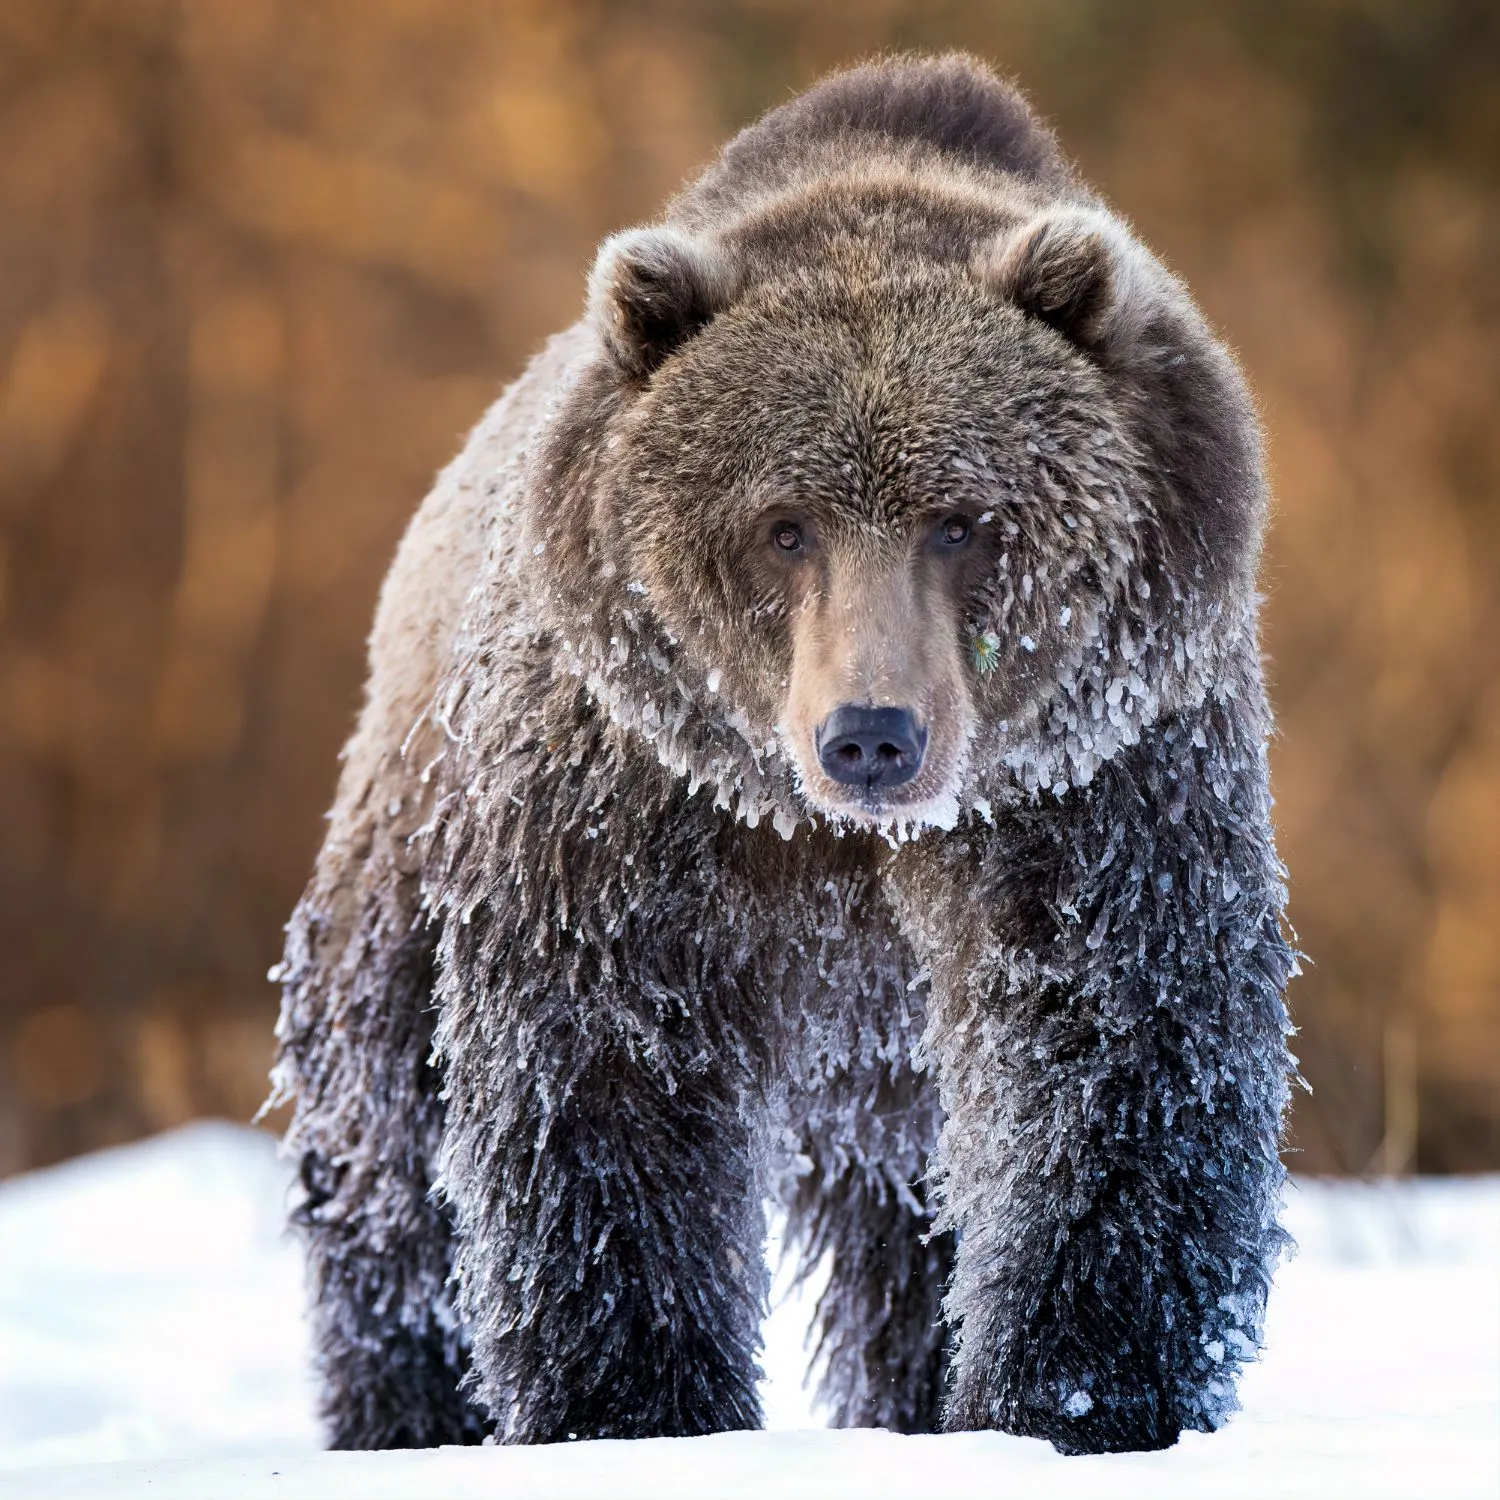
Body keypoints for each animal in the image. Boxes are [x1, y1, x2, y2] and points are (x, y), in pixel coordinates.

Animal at [270, 52, 1296, 1456]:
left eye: (963, 520)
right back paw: (409, 1407)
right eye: (782, 524)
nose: (871, 734)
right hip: (407, 842)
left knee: (915, 1235)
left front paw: (1075, 1396)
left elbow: (1111, 1035)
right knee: (389, 1154)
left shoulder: (1098, 772)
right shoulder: (632, 790)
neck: (849, 844)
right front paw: (631, 1405)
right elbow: (605, 1069)